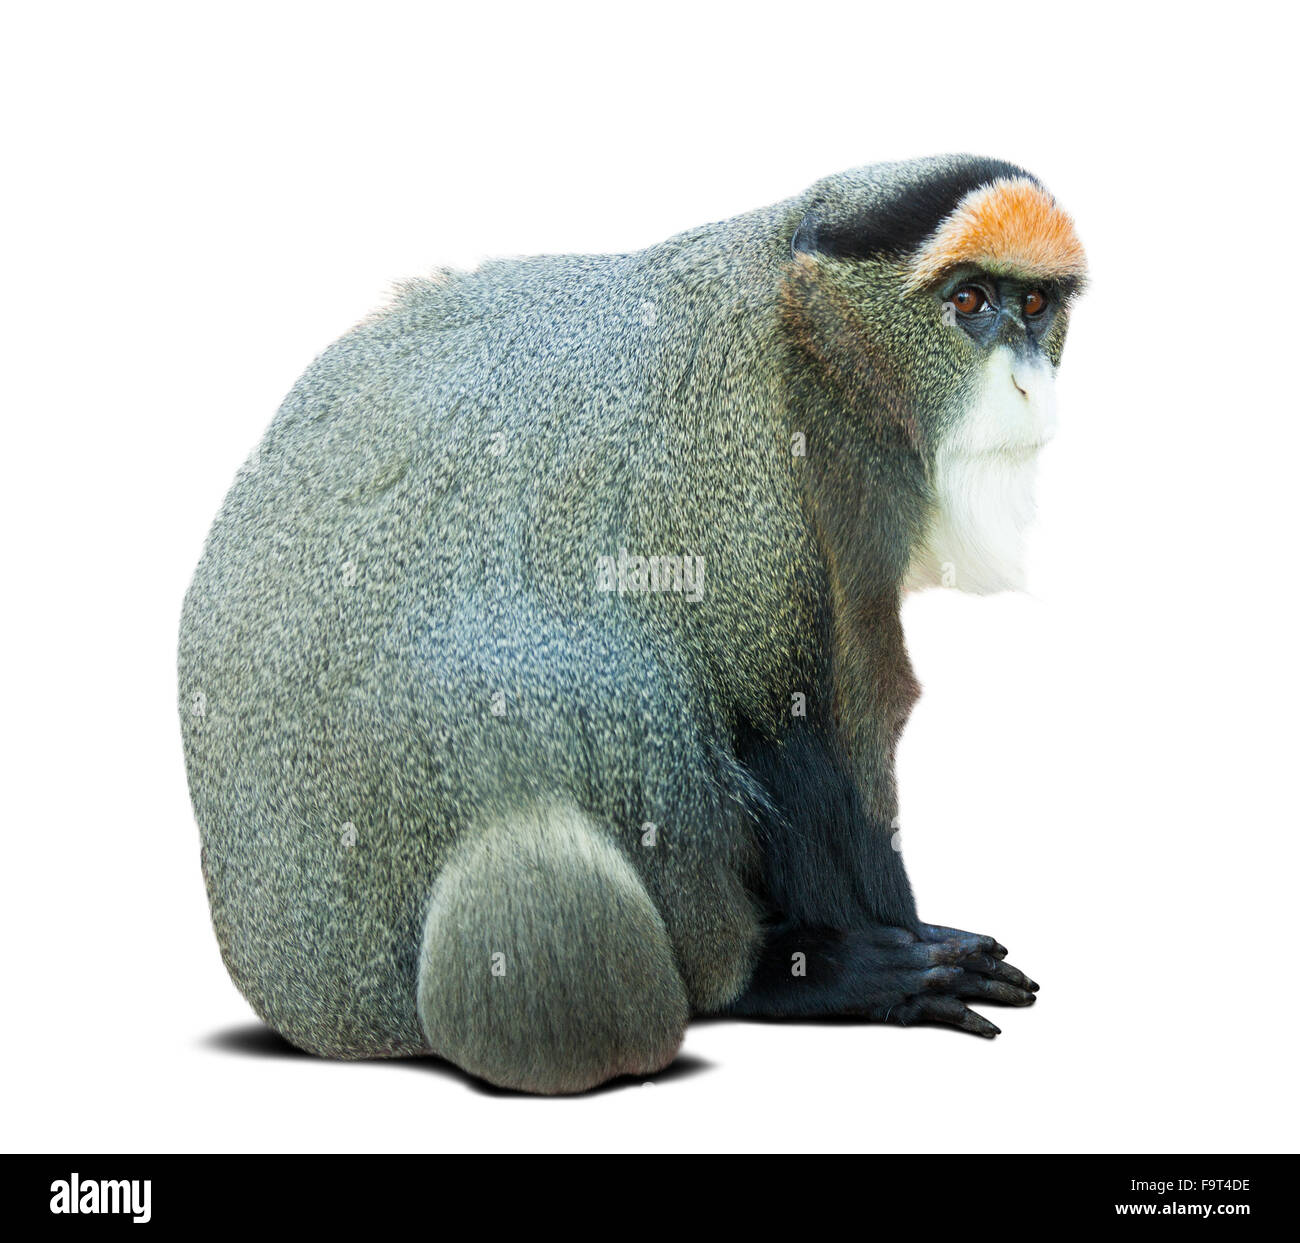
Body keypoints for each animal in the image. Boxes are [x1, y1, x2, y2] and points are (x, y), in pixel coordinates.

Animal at [179, 154, 1085, 1094]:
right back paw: (758, 978)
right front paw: (863, 969)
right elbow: (789, 716)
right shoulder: (760, 459)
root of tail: (309, 1011)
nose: (1029, 383)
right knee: (585, 743)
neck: (807, 322)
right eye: (968, 300)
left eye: (1035, 305)